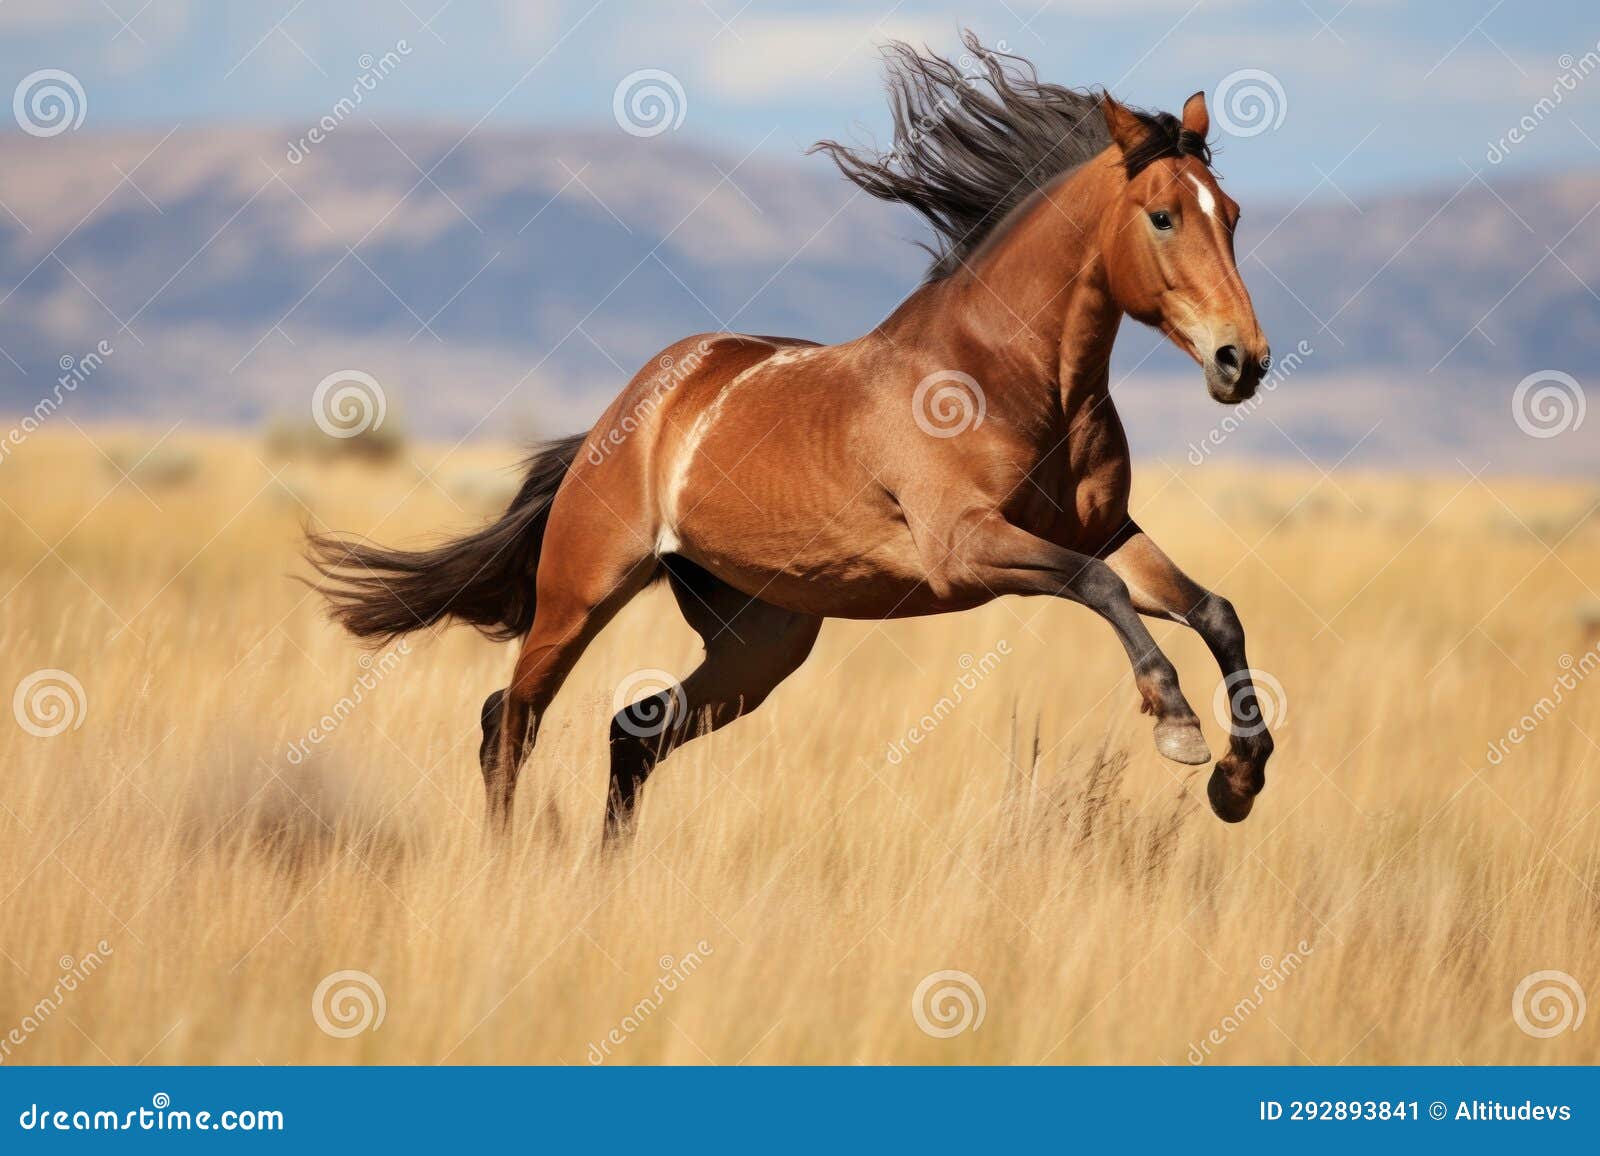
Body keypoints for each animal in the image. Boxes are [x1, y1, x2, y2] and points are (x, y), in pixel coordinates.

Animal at [307, 34, 1277, 846]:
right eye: (1162, 215)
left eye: (1231, 214)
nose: (1244, 360)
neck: (1006, 375)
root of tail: (627, 416)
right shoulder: (964, 549)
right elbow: (1100, 588)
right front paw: (1180, 729)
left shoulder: (1107, 529)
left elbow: (1214, 609)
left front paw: (1240, 776)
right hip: (580, 595)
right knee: (508, 721)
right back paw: (506, 862)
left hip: (760, 641)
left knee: (632, 732)